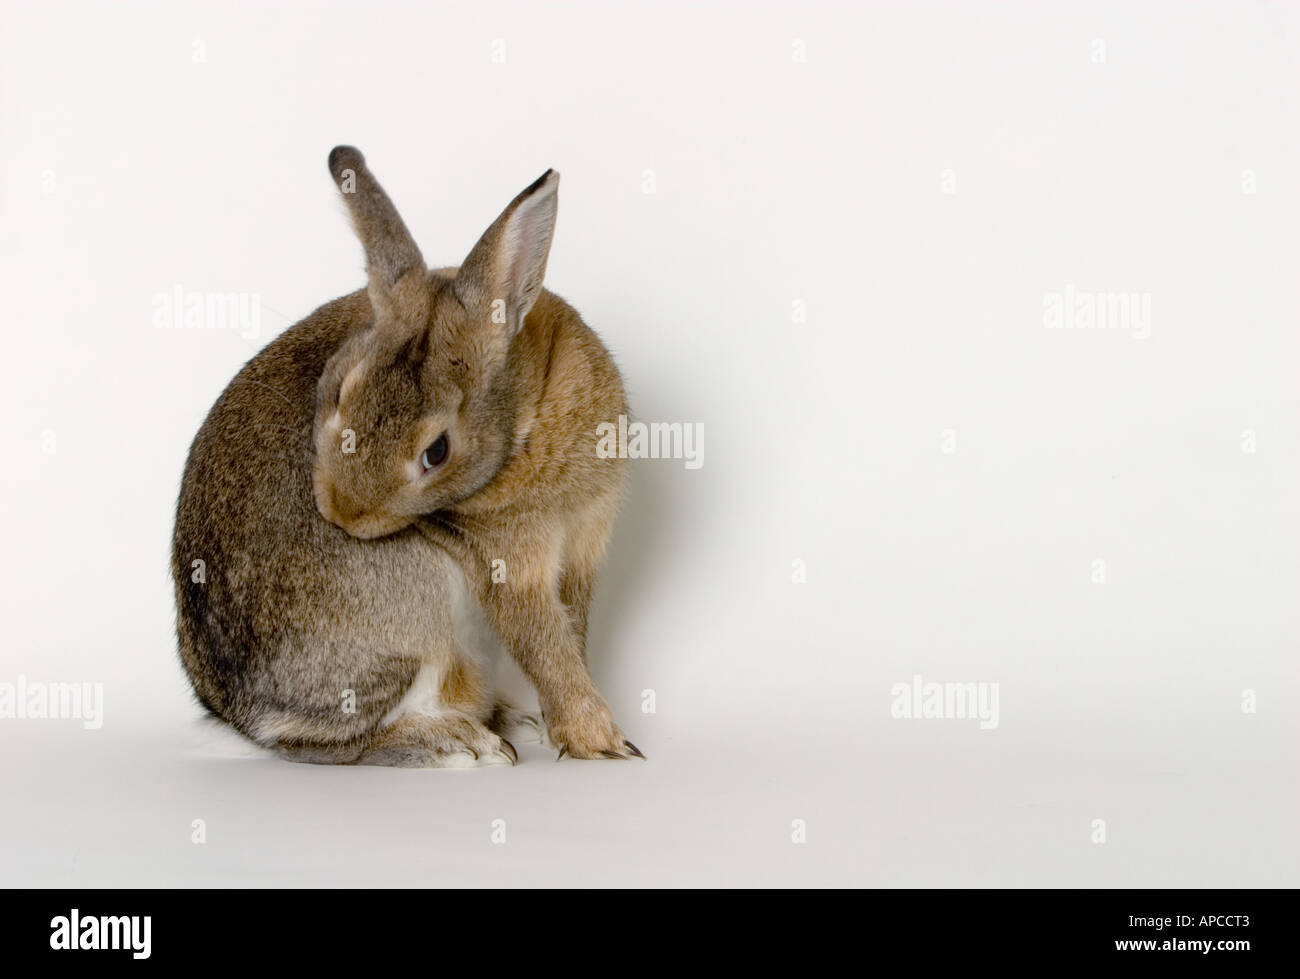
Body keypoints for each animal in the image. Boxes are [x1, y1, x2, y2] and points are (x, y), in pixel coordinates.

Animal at [171, 146, 639, 766]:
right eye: (339, 390)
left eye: (436, 452)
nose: (340, 512)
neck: (527, 409)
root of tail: (242, 715)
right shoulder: (507, 559)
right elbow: (544, 644)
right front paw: (600, 741)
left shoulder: (584, 545)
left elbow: (570, 637)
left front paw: (580, 734)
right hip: (420, 622)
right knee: (320, 742)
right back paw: (461, 744)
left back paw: (508, 725)